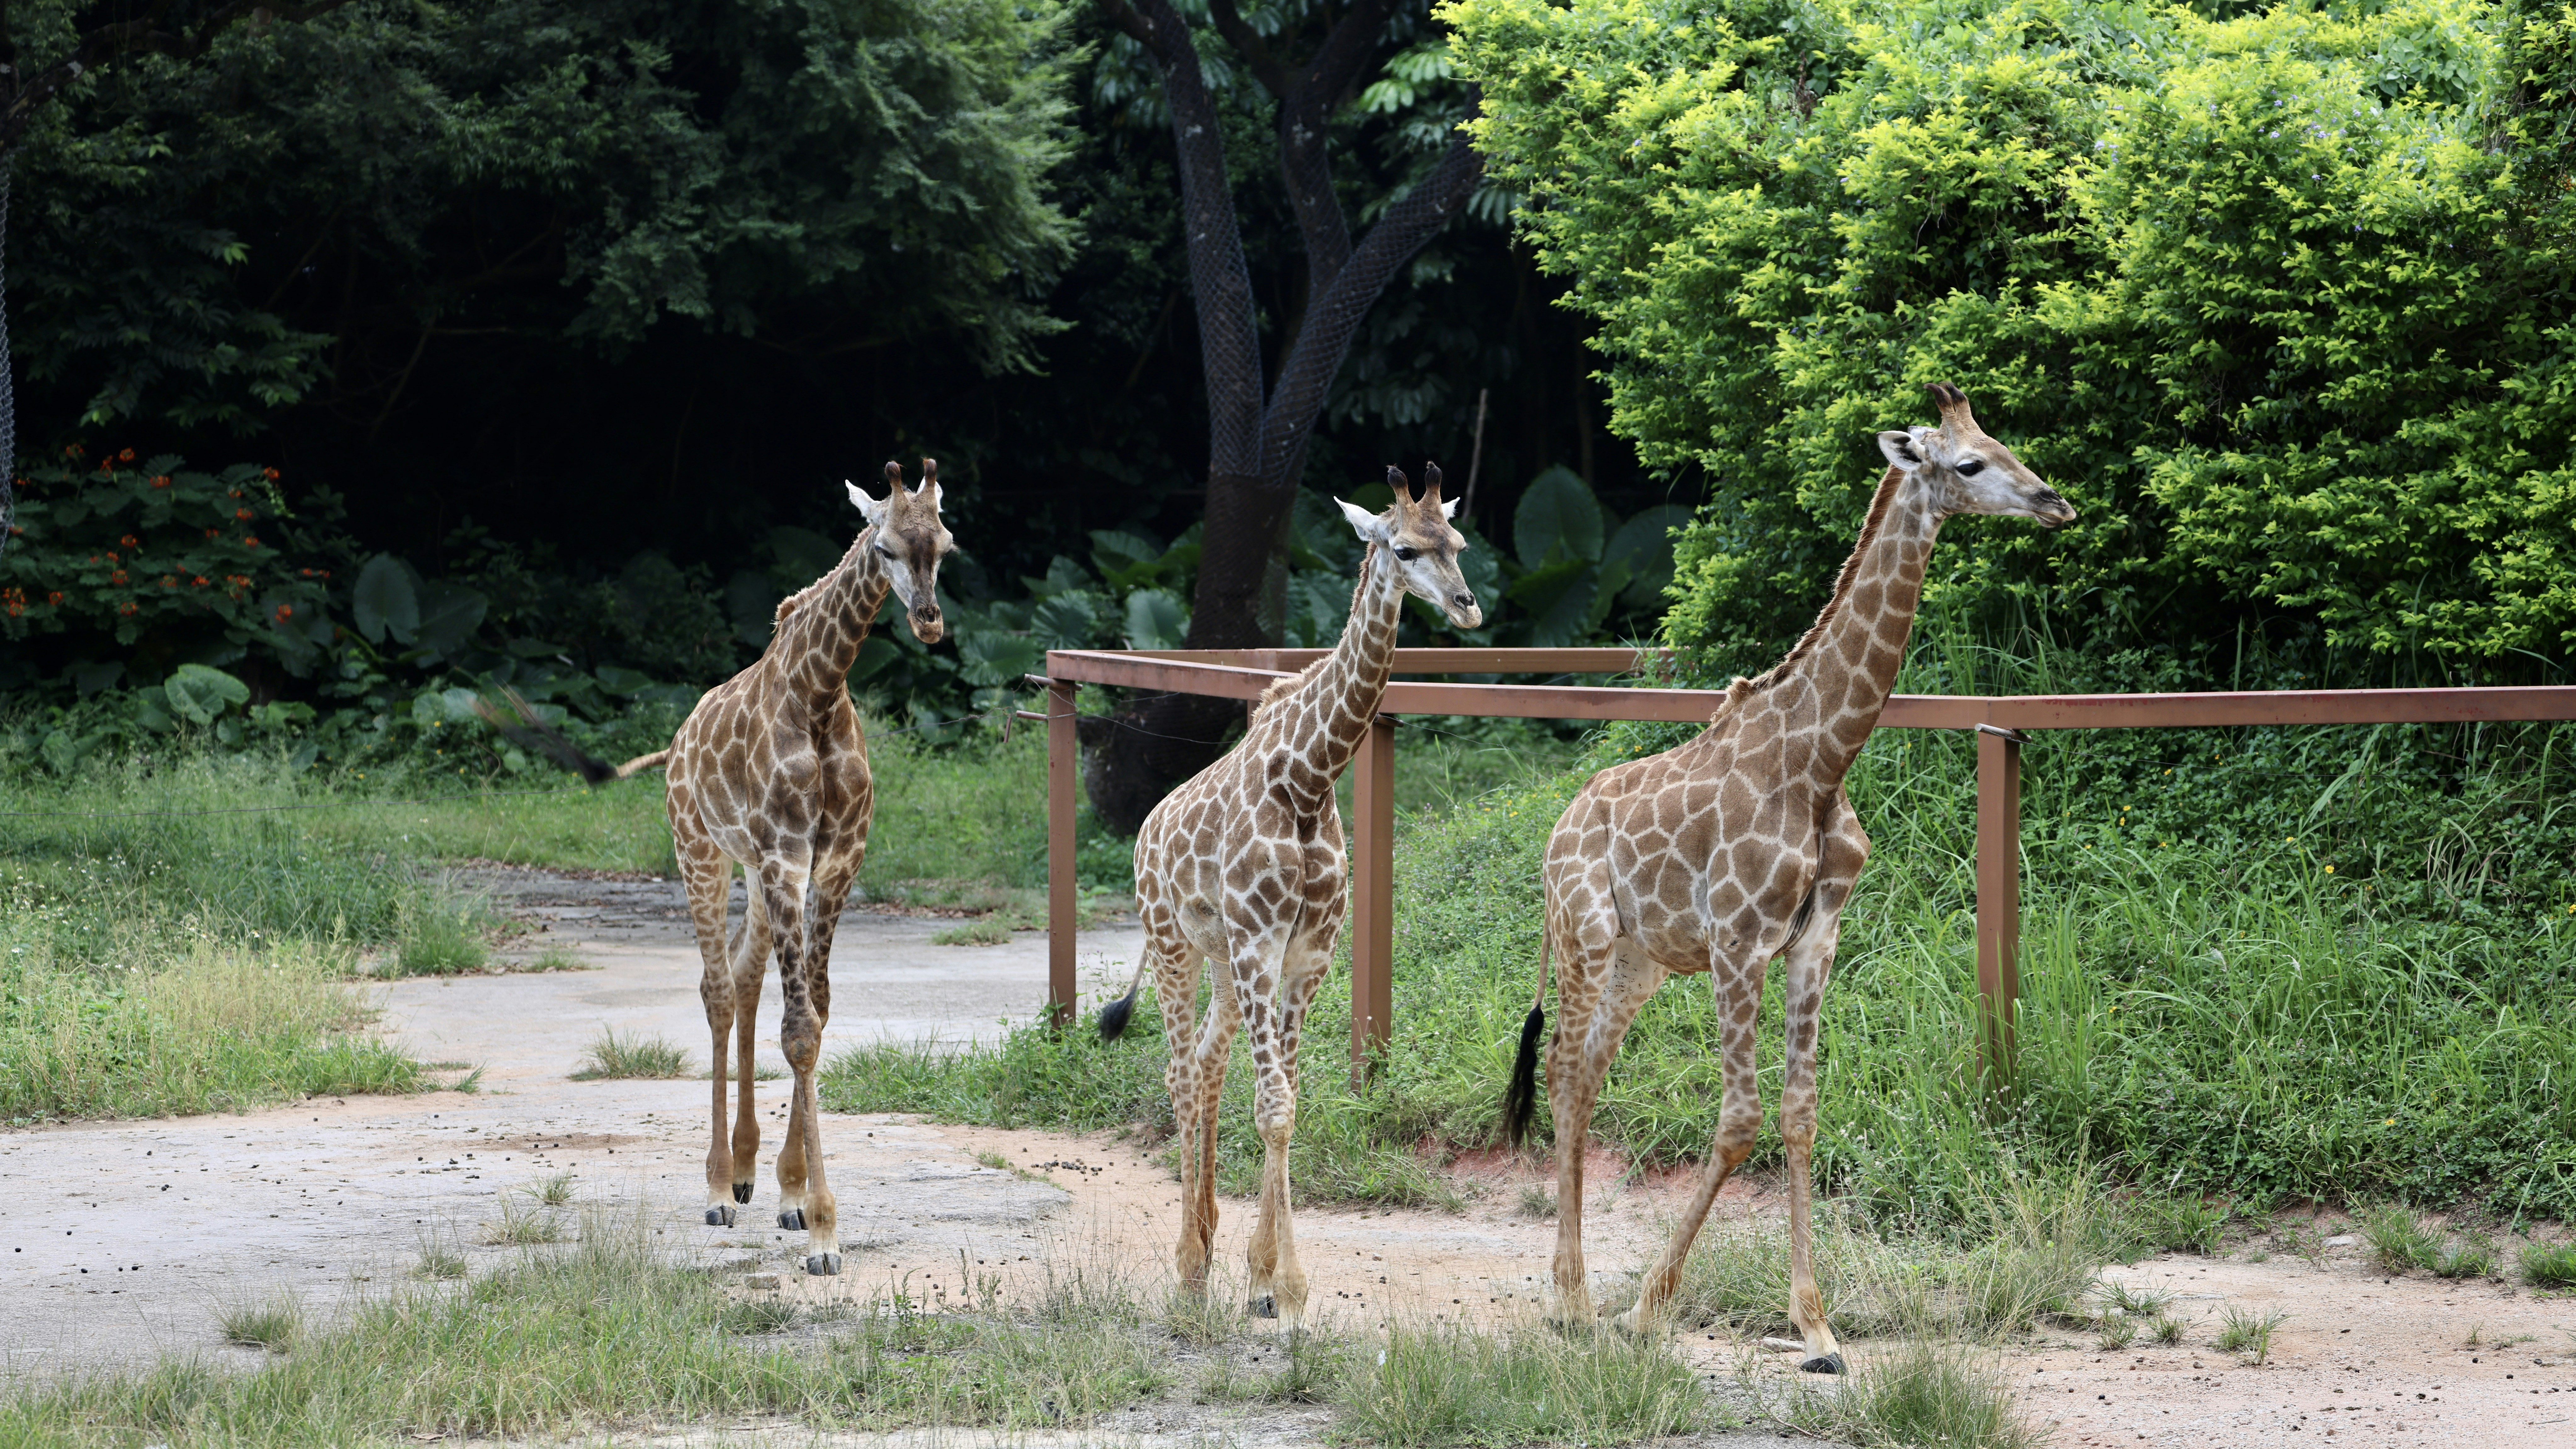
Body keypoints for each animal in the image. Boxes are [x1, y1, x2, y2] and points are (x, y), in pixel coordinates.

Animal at [662, 460, 951, 1275]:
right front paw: (826, 1230)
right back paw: (718, 1189)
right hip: (700, 850)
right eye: (884, 547)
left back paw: (750, 1172)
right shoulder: (787, 858)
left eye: (945, 543)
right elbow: (799, 1030)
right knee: (717, 989)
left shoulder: (834, 861)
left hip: (755, 875)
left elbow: (815, 1012)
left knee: (745, 977)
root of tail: (680, 735)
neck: (820, 696)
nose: (929, 620)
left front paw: (795, 1195)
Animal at [1095, 465, 1481, 1330]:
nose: (1468, 604)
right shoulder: (1260, 942)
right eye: (1405, 548)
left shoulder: (1308, 952)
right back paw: (1185, 1264)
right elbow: (1273, 1103)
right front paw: (1289, 1281)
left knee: (1205, 1066)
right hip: (1173, 944)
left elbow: (1289, 1099)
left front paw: (1263, 1278)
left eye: (1458, 542)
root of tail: (1143, 833)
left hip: (1221, 961)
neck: (1309, 777)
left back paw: (1206, 1249)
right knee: (1179, 1074)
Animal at [1502, 385, 2074, 1368]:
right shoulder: (1739, 941)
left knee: (1588, 1074)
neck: (1821, 762)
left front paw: (1816, 1324)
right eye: (1967, 462)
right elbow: (1739, 1121)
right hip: (1584, 934)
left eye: (2006, 442)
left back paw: (1573, 1294)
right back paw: (1570, 1299)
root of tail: (1559, 826)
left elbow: (1800, 1114)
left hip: (1641, 962)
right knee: (1568, 1071)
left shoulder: (1815, 941)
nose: (2055, 502)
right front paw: (1649, 1307)